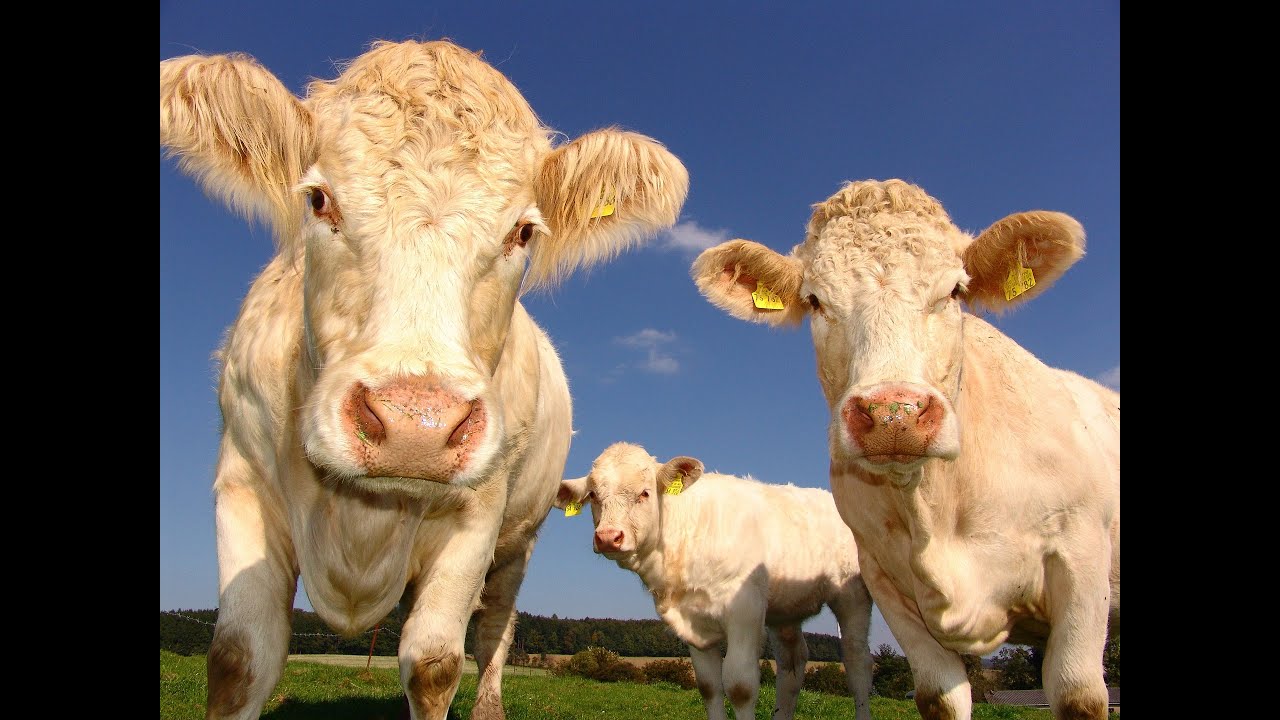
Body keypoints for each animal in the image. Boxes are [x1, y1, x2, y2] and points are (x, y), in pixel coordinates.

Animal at [159, 40, 688, 720]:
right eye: (318, 200)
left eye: (523, 231)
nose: (416, 425)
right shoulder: (243, 481)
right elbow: (239, 656)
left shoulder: (479, 516)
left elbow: (436, 663)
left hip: (517, 542)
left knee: (493, 629)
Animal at [555, 442, 874, 720]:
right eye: (593, 495)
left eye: (645, 493)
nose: (608, 537)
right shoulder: (693, 623)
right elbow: (709, 687)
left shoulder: (745, 611)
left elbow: (740, 687)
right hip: (785, 610)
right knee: (792, 665)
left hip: (852, 595)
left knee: (857, 662)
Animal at [691, 179, 1119, 720]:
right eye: (815, 300)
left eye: (954, 290)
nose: (894, 414)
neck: (937, 506)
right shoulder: (887, 581)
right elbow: (938, 697)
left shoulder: (1081, 558)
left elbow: (1078, 693)